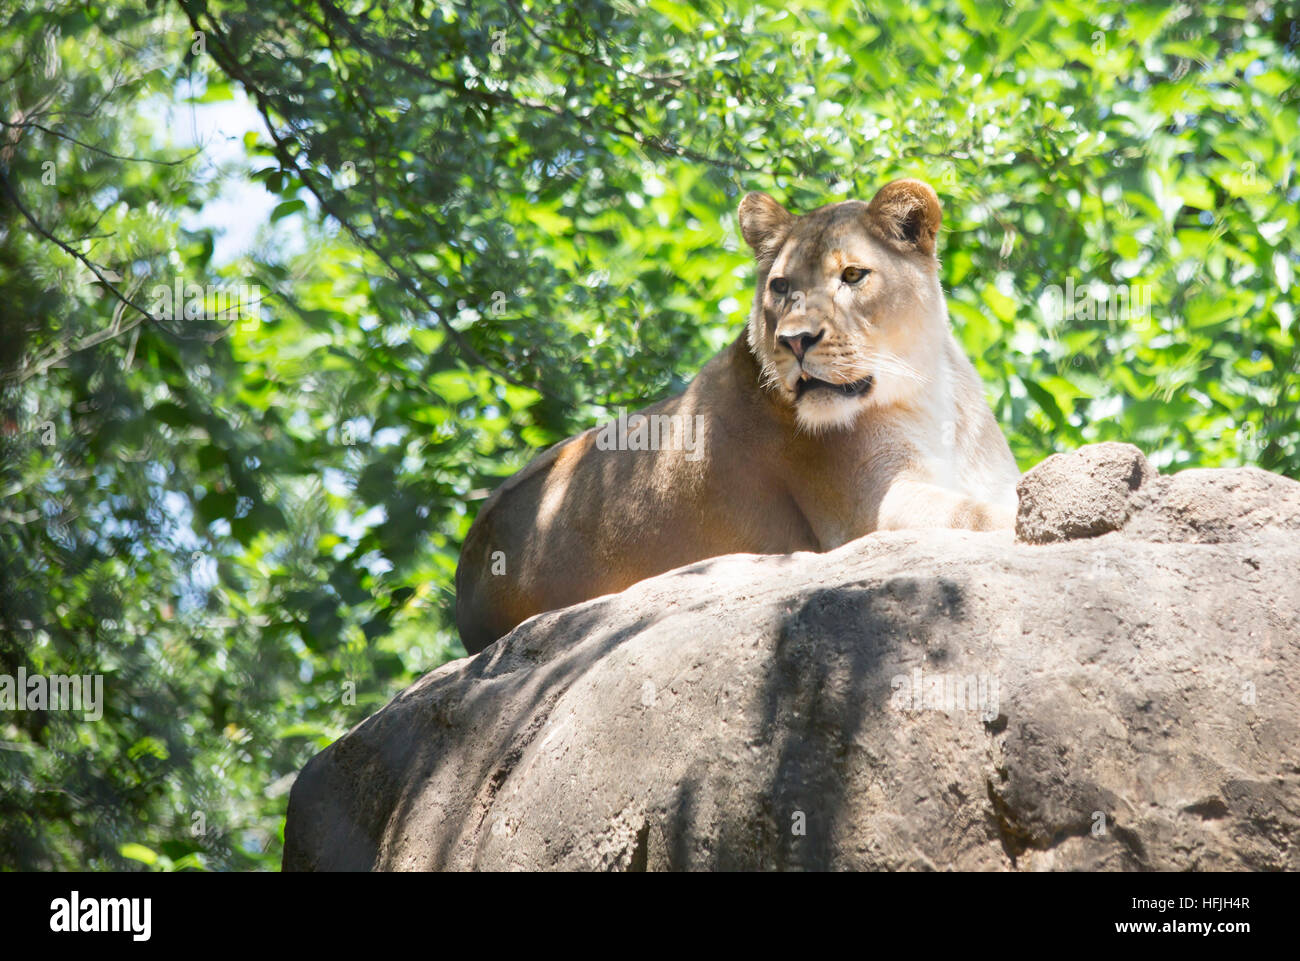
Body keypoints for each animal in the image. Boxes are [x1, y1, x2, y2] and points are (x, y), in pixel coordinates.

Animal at [455, 179, 1020, 654]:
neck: (927, 392)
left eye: (853, 275)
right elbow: (980, 516)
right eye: (781, 287)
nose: (795, 341)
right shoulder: (868, 514)